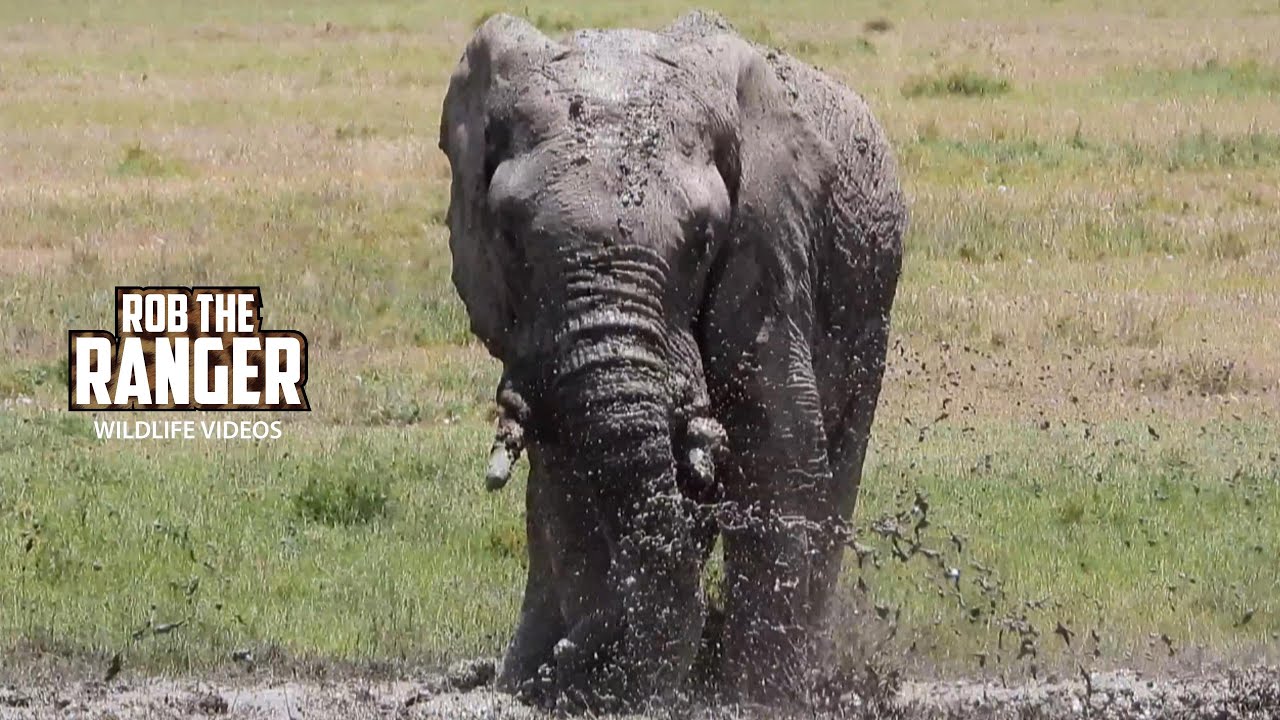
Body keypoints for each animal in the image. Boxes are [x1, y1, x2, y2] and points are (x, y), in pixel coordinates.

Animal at [438, 10, 907, 711]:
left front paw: (755, 700)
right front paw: (582, 685)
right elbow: (570, 478)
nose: (569, 659)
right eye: (511, 236)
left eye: (703, 240)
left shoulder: (771, 252)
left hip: (872, 302)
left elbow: (779, 450)